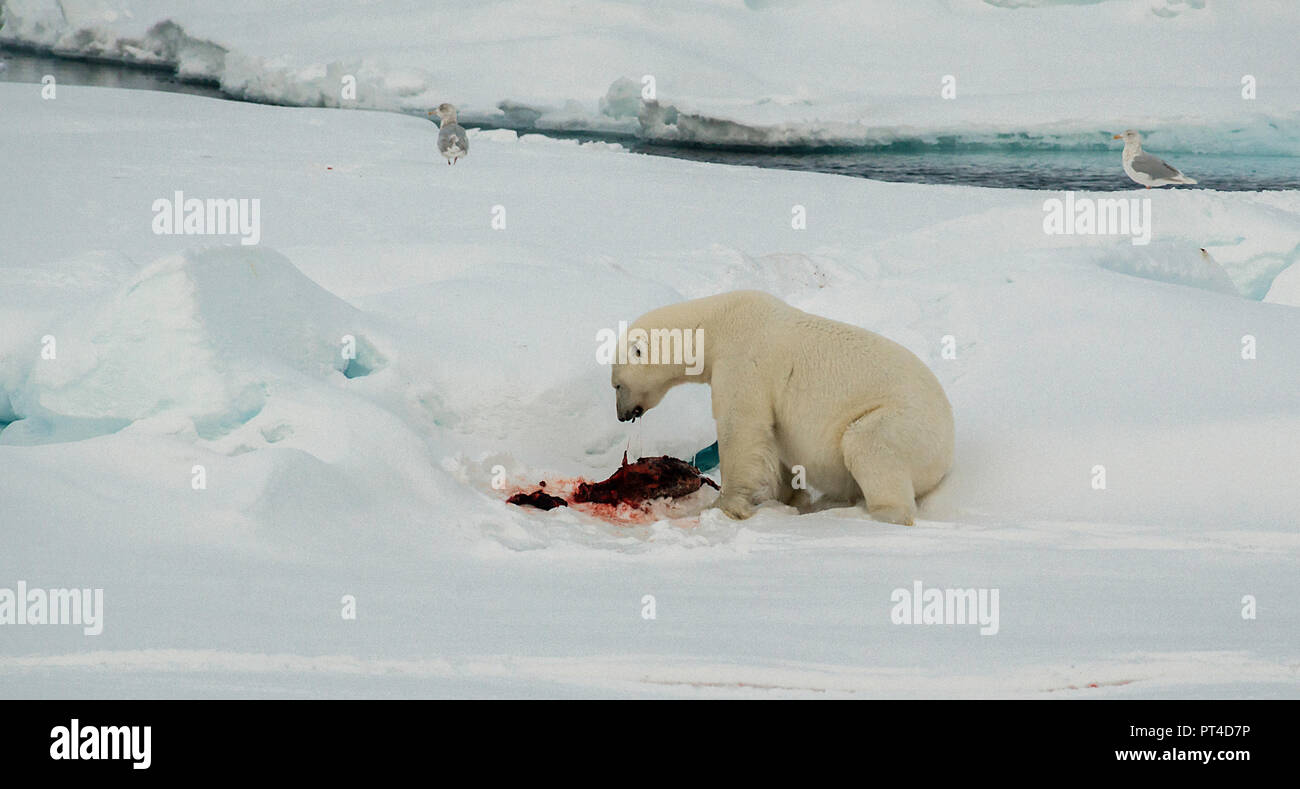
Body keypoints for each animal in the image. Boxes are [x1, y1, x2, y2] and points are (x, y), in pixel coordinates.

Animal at [609, 290, 954, 525]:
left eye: (616, 385)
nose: (622, 416)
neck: (715, 324)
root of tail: (946, 453)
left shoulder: (742, 359)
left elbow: (741, 426)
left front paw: (725, 505)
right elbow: (774, 437)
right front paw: (784, 497)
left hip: (903, 423)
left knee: (869, 445)